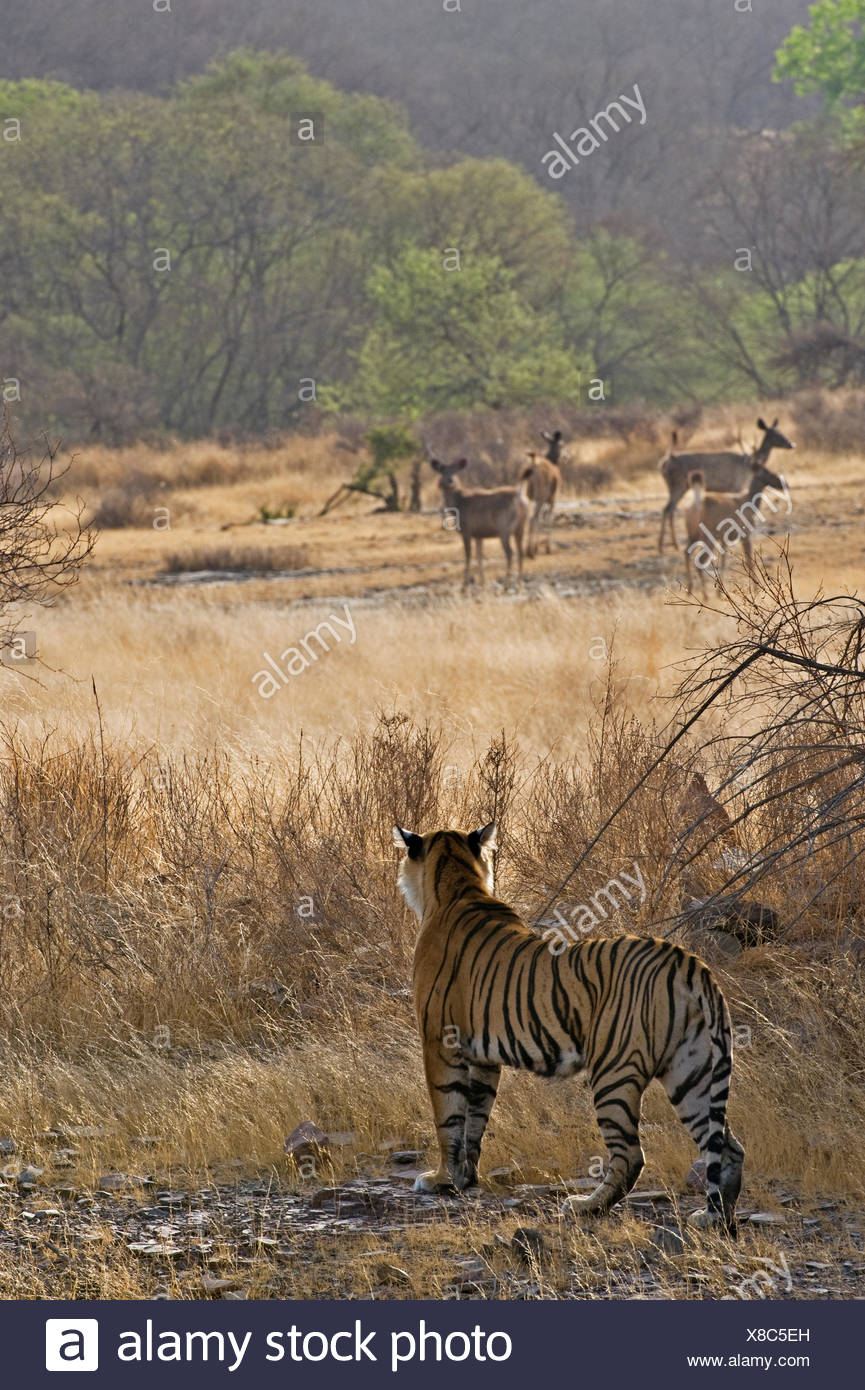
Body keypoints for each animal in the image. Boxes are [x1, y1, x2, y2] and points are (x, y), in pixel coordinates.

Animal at [393, 820, 745, 1230]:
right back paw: (714, 1215)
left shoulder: (440, 1043)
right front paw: (465, 1178)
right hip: (692, 1071)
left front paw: (441, 1180)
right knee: (728, 1146)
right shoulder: (482, 1057)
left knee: (631, 1156)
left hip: (614, 1071)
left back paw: (585, 1206)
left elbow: (448, 1117)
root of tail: (687, 962)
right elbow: (474, 1119)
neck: (458, 883)